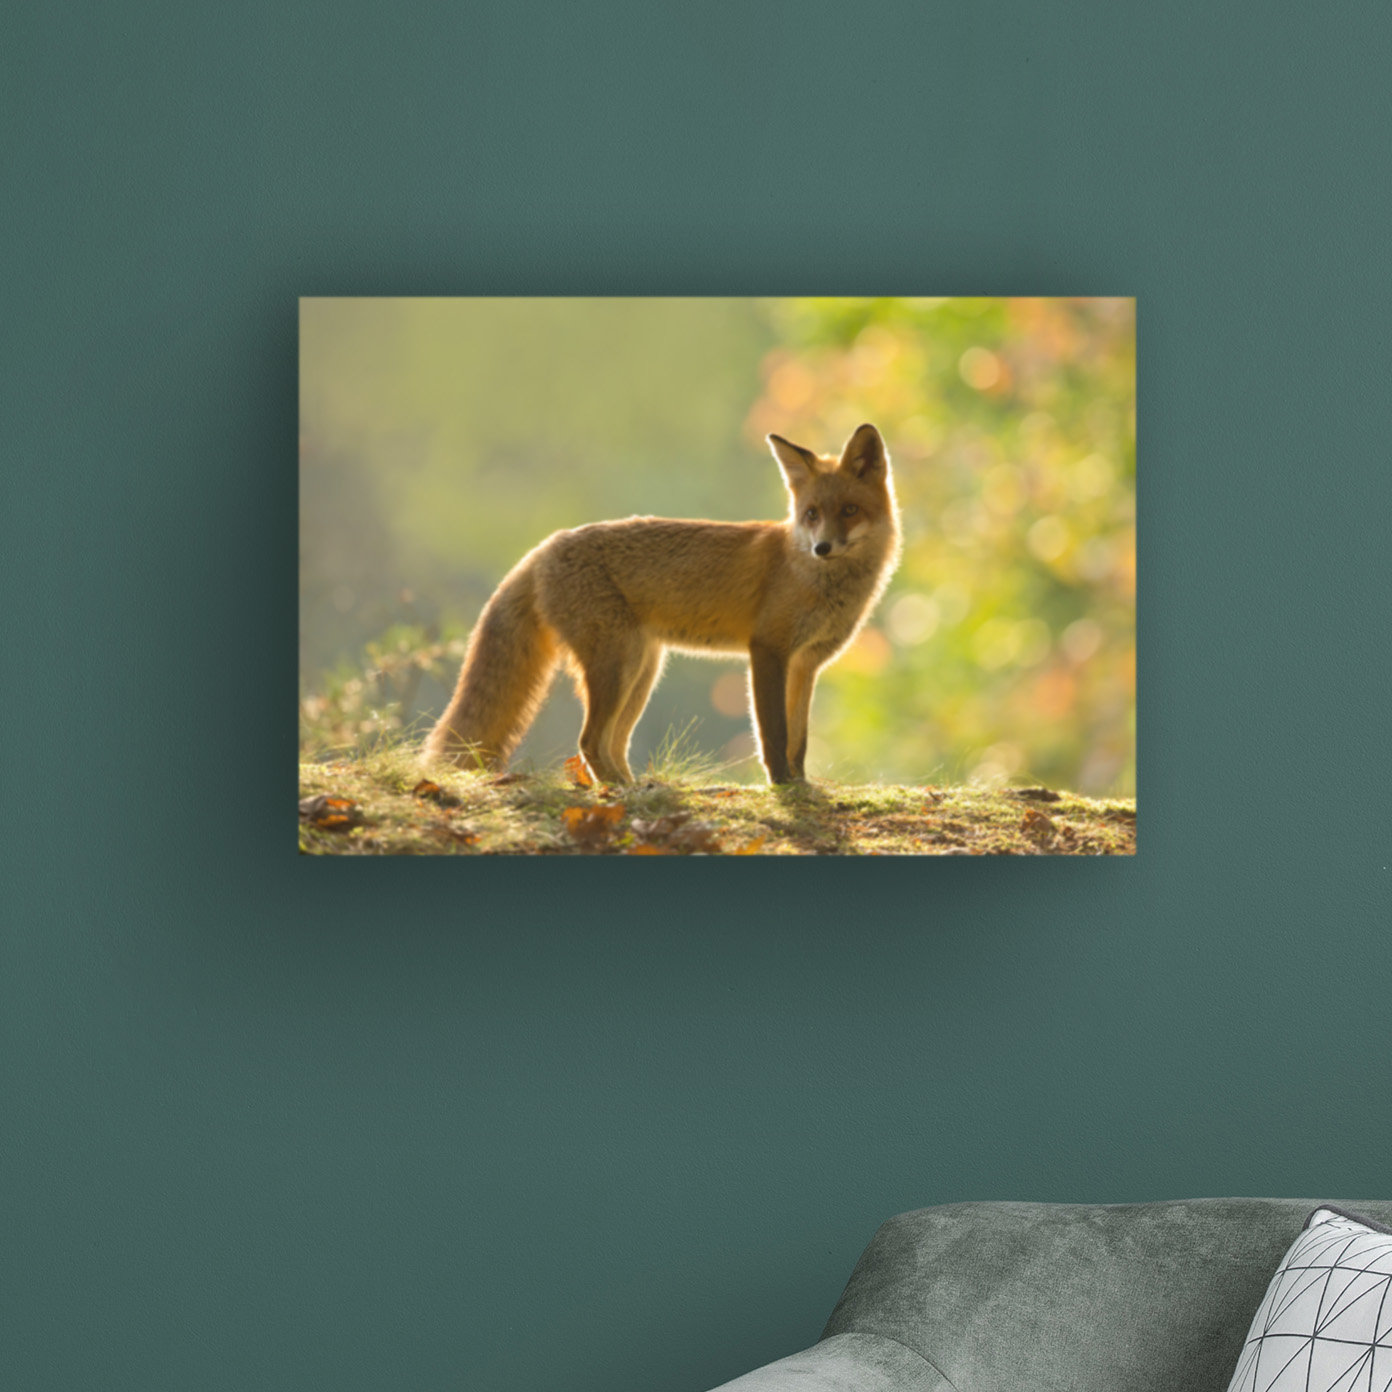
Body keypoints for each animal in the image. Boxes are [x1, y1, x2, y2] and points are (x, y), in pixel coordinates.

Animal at [422, 422, 901, 785]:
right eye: (812, 514)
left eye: (850, 510)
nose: (822, 548)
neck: (815, 578)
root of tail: (546, 546)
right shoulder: (768, 651)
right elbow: (774, 734)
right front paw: (781, 786)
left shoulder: (805, 664)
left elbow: (799, 739)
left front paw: (801, 785)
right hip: (618, 664)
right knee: (588, 741)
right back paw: (619, 792)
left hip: (641, 669)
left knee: (611, 743)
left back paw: (631, 786)